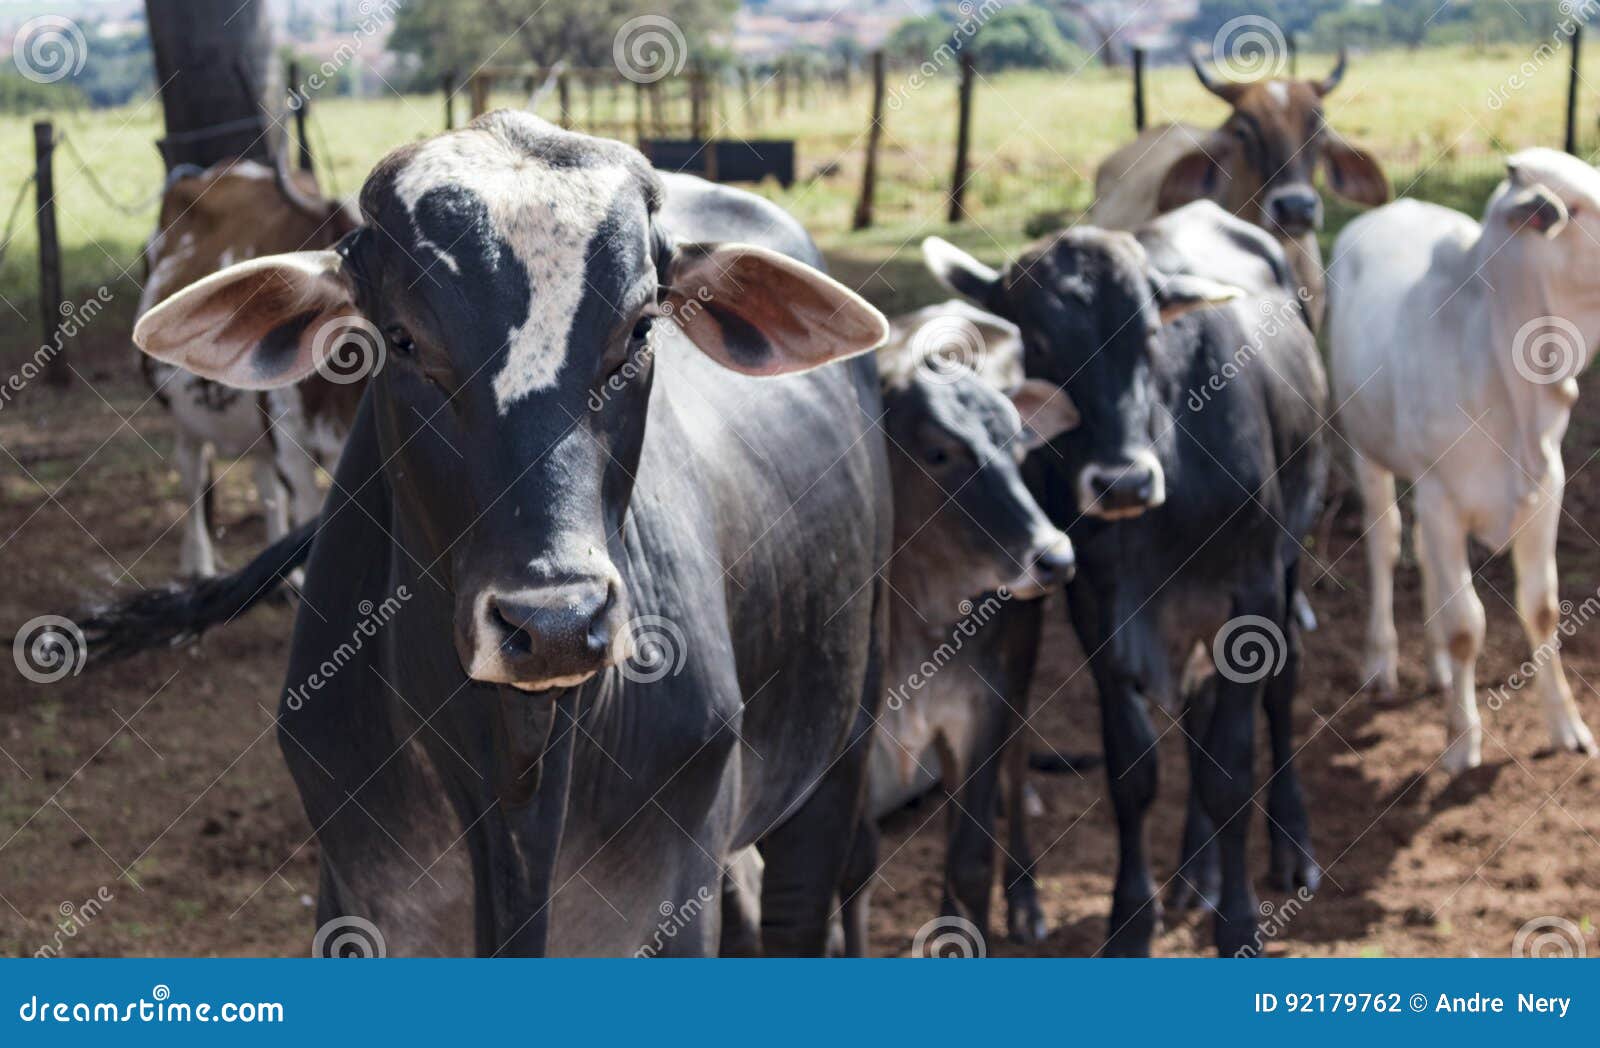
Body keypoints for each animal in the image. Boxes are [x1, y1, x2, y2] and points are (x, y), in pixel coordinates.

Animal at [837, 301, 1078, 952]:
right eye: (939, 453)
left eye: (1017, 449)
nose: (1055, 557)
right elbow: (854, 868)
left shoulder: (984, 703)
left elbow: (972, 859)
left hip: (1018, 671)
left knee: (1012, 773)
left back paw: (1024, 900)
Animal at [920, 201, 1328, 957]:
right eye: (1041, 340)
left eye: (1147, 333)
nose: (1123, 481)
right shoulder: (1097, 609)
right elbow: (1134, 772)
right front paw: (1133, 920)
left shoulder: (1252, 593)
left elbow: (1232, 768)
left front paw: (1239, 921)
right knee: (1197, 713)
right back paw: (1194, 872)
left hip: (1289, 561)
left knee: (1282, 691)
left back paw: (1289, 849)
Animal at [1328, 148, 1600, 775]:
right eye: (1577, 208)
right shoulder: (1443, 498)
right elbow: (1466, 626)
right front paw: (1460, 741)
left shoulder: (1547, 489)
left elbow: (1542, 609)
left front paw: (1566, 725)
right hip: (1368, 452)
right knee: (1386, 541)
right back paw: (1383, 661)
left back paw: (1436, 669)